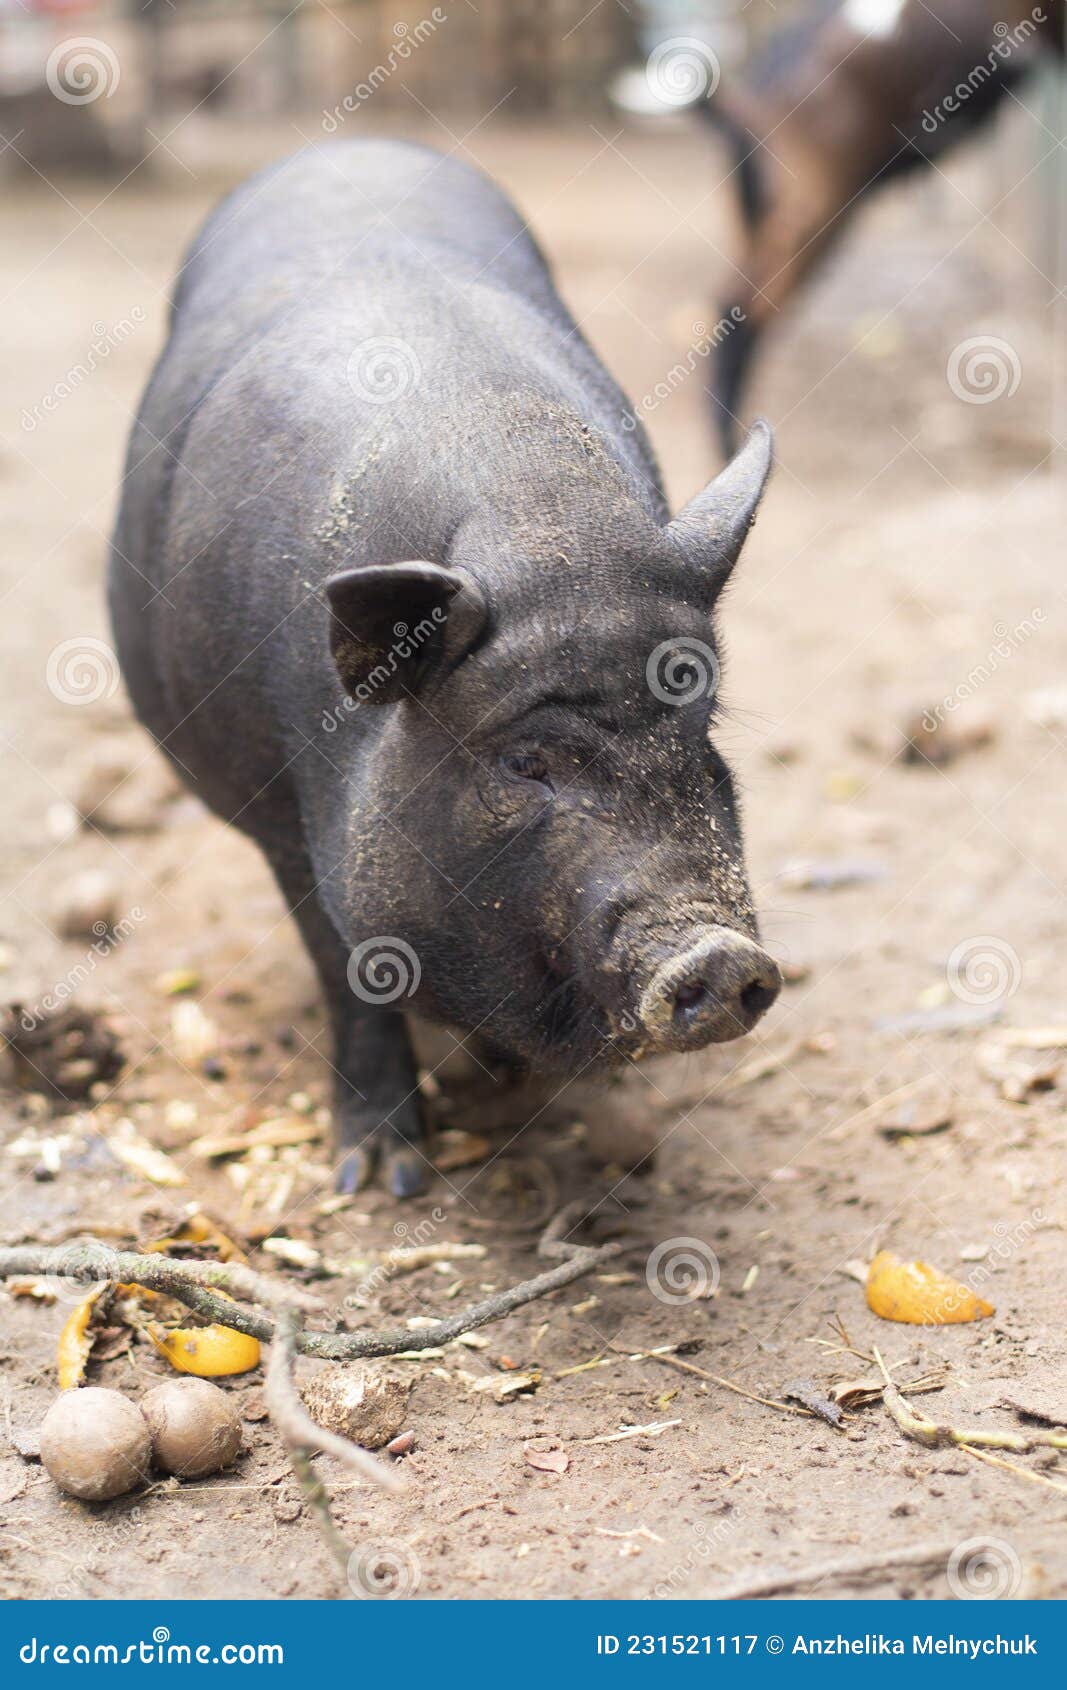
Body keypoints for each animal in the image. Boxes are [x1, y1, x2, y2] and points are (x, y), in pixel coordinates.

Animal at [109, 140, 781, 1197]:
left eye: (698, 730)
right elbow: (346, 970)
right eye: (524, 762)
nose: (716, 956)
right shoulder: (286, 820)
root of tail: (348, 145)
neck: (543, 529)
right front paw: (382, 1178)